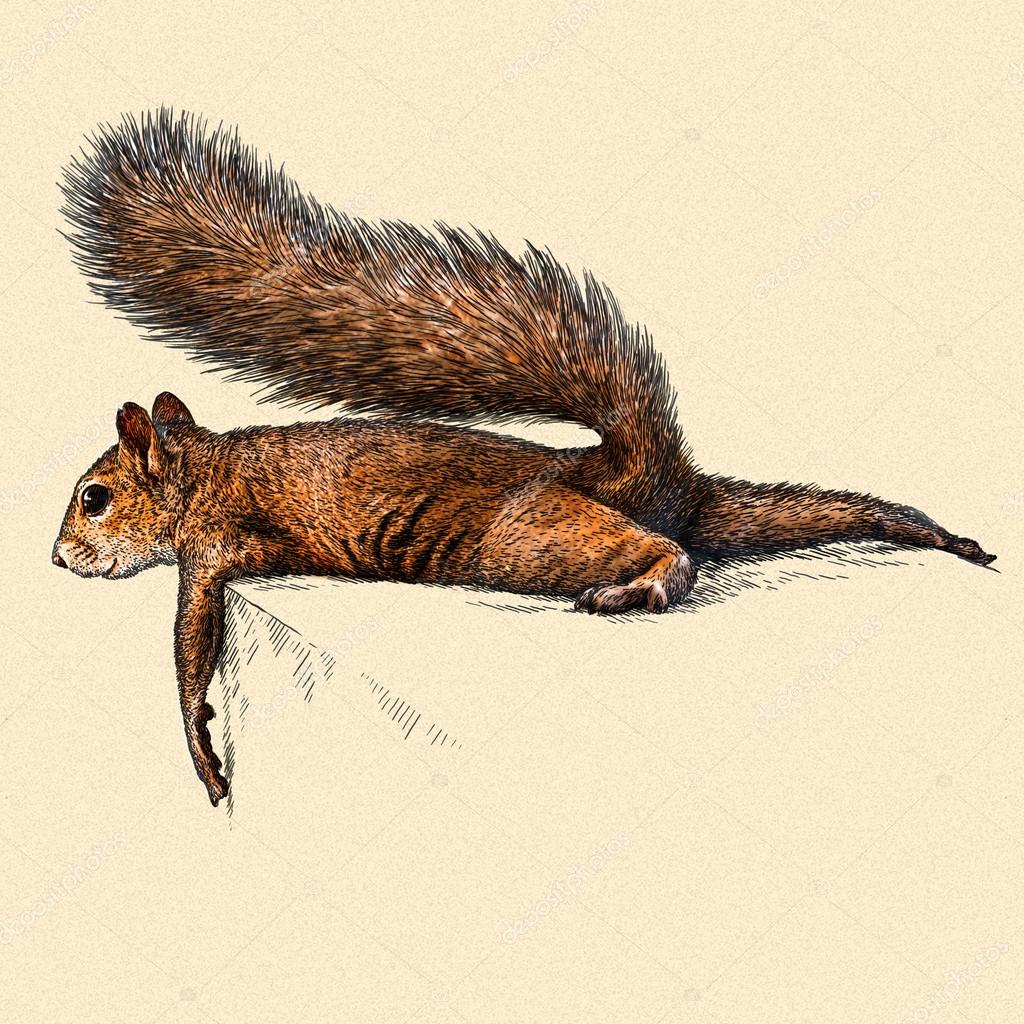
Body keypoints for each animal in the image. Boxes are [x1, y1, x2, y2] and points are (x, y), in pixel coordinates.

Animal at [52, 110, 995, 806]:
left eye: (94, 498)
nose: (57, 559)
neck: (202, 468)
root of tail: (620, 473)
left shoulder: (212, 546)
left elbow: (190, 645)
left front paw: (202, 752)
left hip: (530, 538)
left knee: (669, 552)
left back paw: (639, 588)